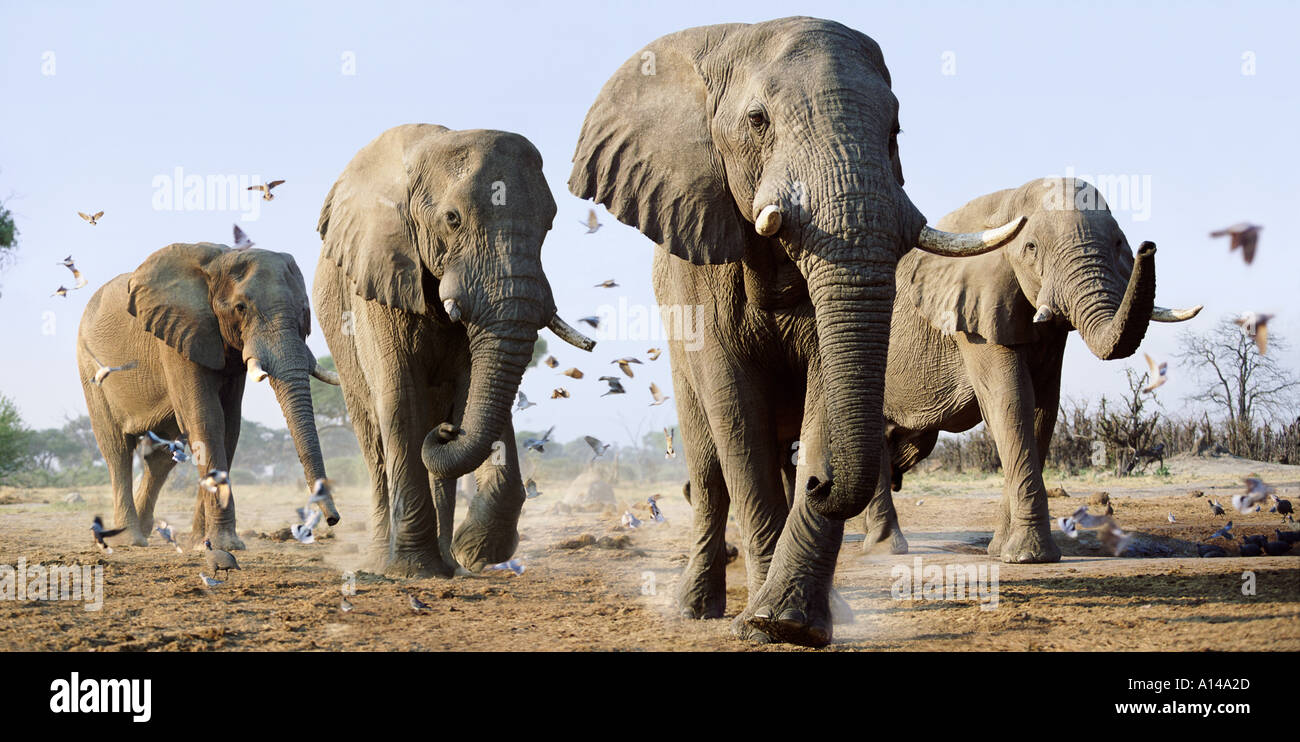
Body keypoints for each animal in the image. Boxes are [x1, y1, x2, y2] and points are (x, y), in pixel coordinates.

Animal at [78, 243, 342, 551]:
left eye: (304, 311)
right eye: (241, 308)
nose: (332, 520)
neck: (220, 261)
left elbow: (229, 426)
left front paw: (203, 544)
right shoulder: (178, 335)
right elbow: (206, 419)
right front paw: (225, 545)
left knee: (161, 458)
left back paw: (143, 532)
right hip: (90, 369)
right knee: (117, 449)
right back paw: (130, 540)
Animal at [313, 124, 595, 578]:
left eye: (549, 223)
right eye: (452, 219)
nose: (446, 433)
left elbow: (471, 391)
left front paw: (475, 552)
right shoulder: (378, 274)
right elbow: (400, 398)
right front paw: (413, 570)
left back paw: (449, 562)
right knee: (374, 439)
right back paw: (380, 561)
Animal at [568, 17, 1023, 646]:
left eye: (896, 129)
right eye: (757, 121)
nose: (822, 485)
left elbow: (823, 387)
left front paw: (791, 622)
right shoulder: (700, 253)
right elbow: (736, 413)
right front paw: (763, 623)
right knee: (707, 470)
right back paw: (695, 607)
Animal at [861, 177, 1202, 562]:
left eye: (1118, 244)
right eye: (1031, 248)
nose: (1149, 246)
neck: (1007, 203)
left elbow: (1043, 408)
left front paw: (1002, 551)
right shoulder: (974, 314)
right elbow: (1011, 401)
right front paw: (1030, 557)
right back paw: (886, 547)